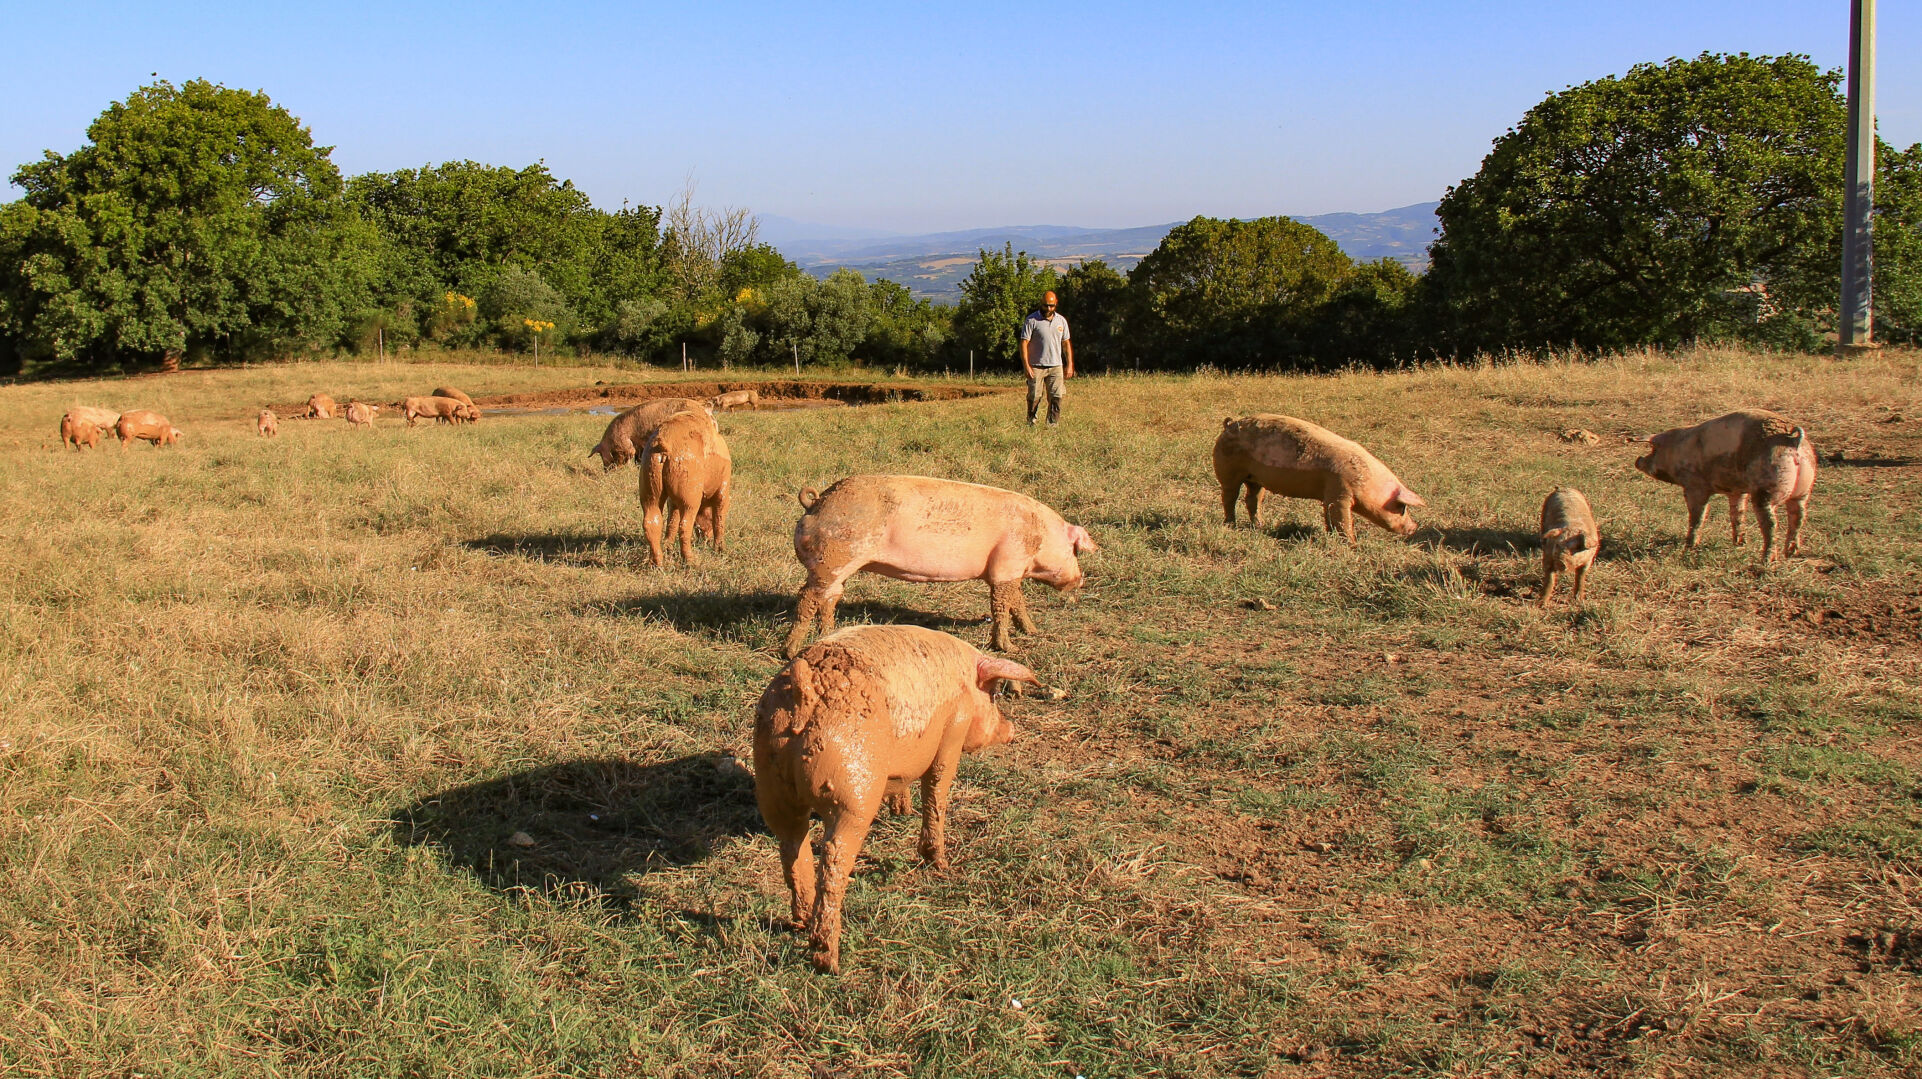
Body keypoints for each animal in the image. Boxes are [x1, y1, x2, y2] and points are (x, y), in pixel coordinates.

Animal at [638, 411, 732, 567]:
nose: (705, 541)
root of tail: (664, 442)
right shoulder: (724, 484)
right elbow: (719, 517)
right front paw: (721, 550)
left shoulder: (673, 500)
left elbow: (672, 520)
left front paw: (668, 547)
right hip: (690, 490)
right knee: (685, 525)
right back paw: (690, 561)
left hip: (648, 480)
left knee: (651, 521)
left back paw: (657, 563)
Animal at [754, 624, 1038, 974]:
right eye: (995, 695)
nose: (1011, 730)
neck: (966, 682)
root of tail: (804, 691)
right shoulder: (953, 728)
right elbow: (937, 787)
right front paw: (940, 863)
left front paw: (902, 809)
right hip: (852, 791)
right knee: (833, 860)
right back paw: (828, 960)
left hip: (771, 782)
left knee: (792, 848)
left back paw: (801, 921)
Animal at [784, 475, 1098, 658]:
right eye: (1075, 550)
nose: (1081, 580)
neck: (1039, 534)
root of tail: (816, 504)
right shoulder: (1007, 563)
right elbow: (1001, 607)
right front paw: (1010, 648)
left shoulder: (1010, 571)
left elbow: (1016, 602)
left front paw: (1032, 631)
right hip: (831, 560)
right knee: (807, 598)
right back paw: (791, 650)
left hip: (837, 568)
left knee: (829, 599)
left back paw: (826, 636)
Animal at [1212, 415, 1426, 545]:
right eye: (1402, 507)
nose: (1414, 527)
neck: (1366, 481)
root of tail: (1229, 424)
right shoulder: (1339, 490)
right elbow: (1342, 519)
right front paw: (1352, 545)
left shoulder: (1329, 496)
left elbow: (1329, 517)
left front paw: (1332, 536)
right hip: (1227, 470)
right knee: (1229, 497)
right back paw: (1231, 525)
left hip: (1256, 479)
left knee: (1252, 498)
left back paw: (1260, 526)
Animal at [1631, 409, 1816, 562]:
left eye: (1654, 449)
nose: (1637, 460)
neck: (1677, 450)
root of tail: (1793, 440)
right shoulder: (1737, 490)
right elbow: (1737, 513)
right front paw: (1739, 543)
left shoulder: (1695, 486)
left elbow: (1697, 516)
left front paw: (1689, 546)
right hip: (1804, 491)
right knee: (1798, 517)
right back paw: (1791, 553)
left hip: (1766, 487)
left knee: (1771, 524)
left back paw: (1766, 560)